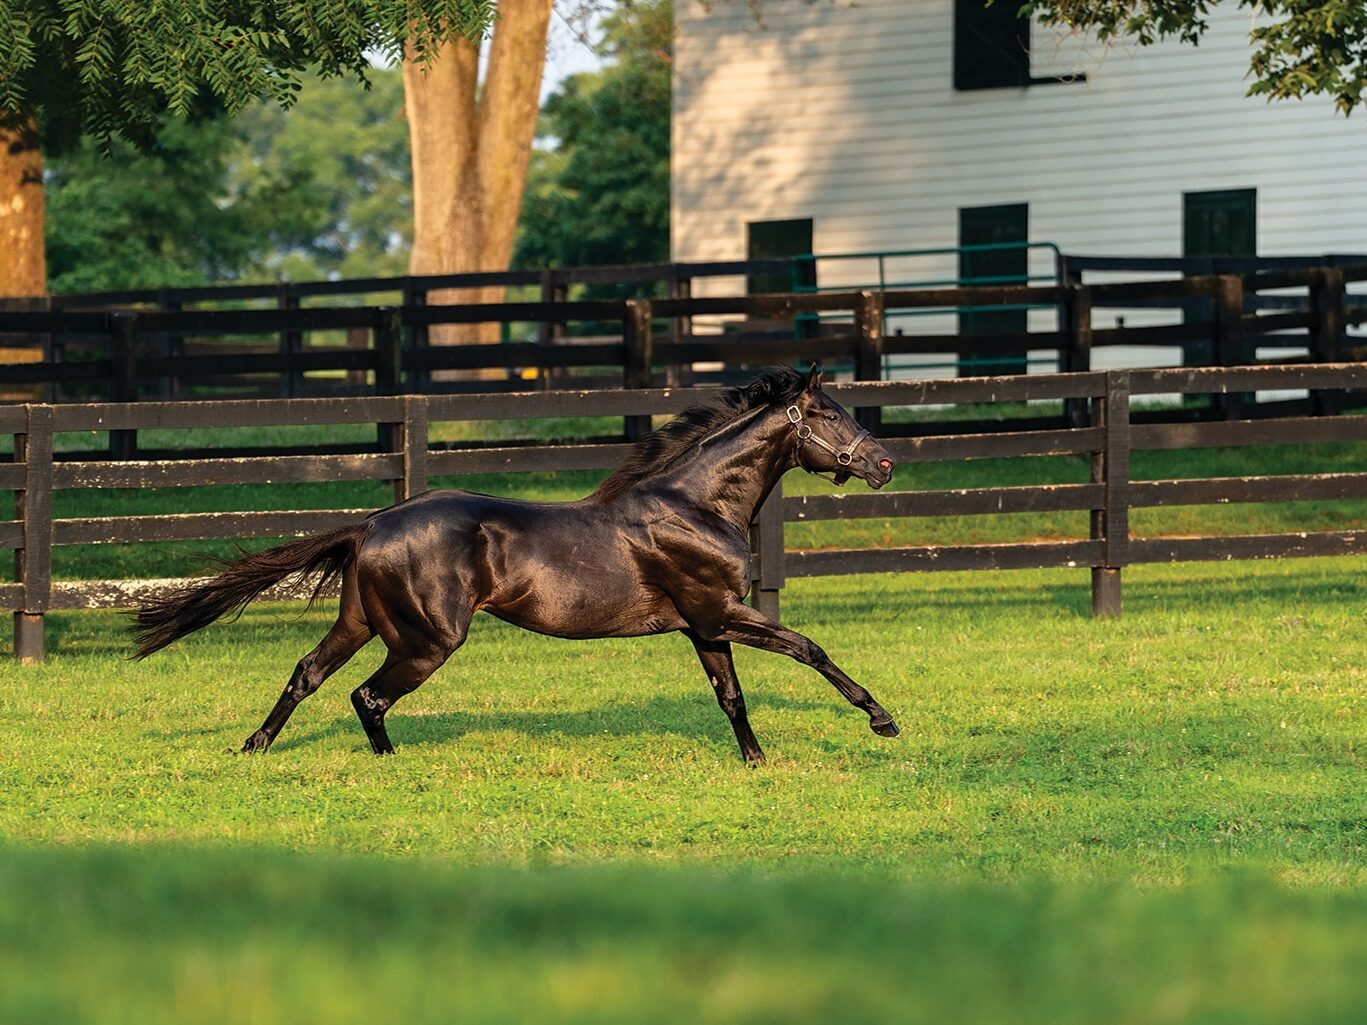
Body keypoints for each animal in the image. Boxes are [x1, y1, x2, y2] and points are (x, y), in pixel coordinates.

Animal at [132, 366, 901, 764]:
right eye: (827, 415)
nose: (884, 464)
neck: (694, 505)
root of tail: (373, 523)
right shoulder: (722, 612)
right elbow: (808, 647)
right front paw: (881, 719)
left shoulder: (704, 626)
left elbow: (730, 695)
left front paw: (756, 761)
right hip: (427, 640)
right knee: (367, 696)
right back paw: (388, 762)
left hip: (362, 623)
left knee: (307, 674)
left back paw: (256, 745)